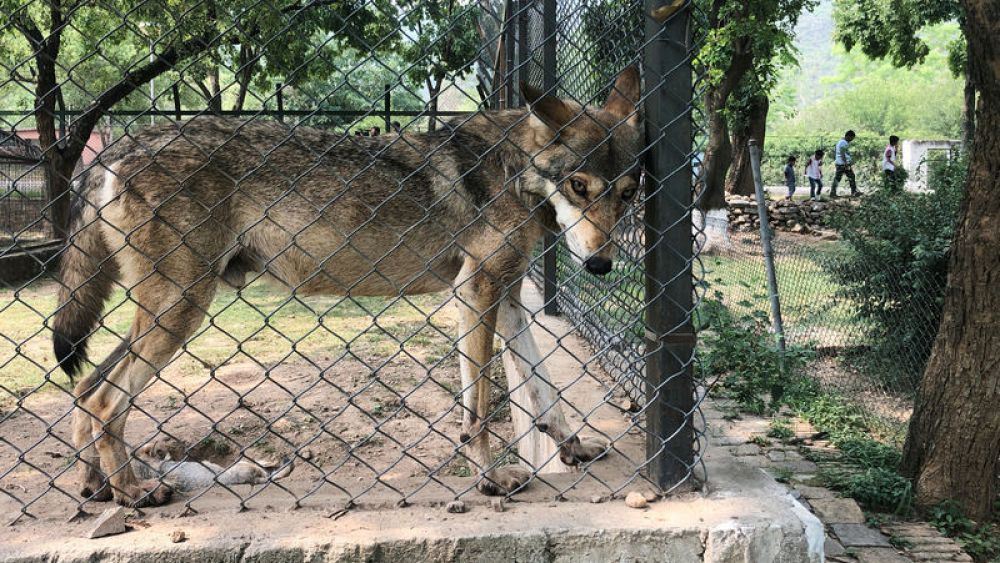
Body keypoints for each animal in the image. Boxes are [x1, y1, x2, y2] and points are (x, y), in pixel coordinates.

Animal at [52, 67, 642, 507]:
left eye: (628, 194)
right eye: (579, 186)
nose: (600, 265)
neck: (516, 169)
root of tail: (121, 144)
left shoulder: (509, 296)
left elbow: (545, 392)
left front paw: (573, 448)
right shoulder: (475, 292)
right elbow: (476, 409)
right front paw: (491, 479)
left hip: (164, 312)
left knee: (86, 389)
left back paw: (97, 487)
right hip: (181, 309)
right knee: (104, 399)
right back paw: (132, 491)